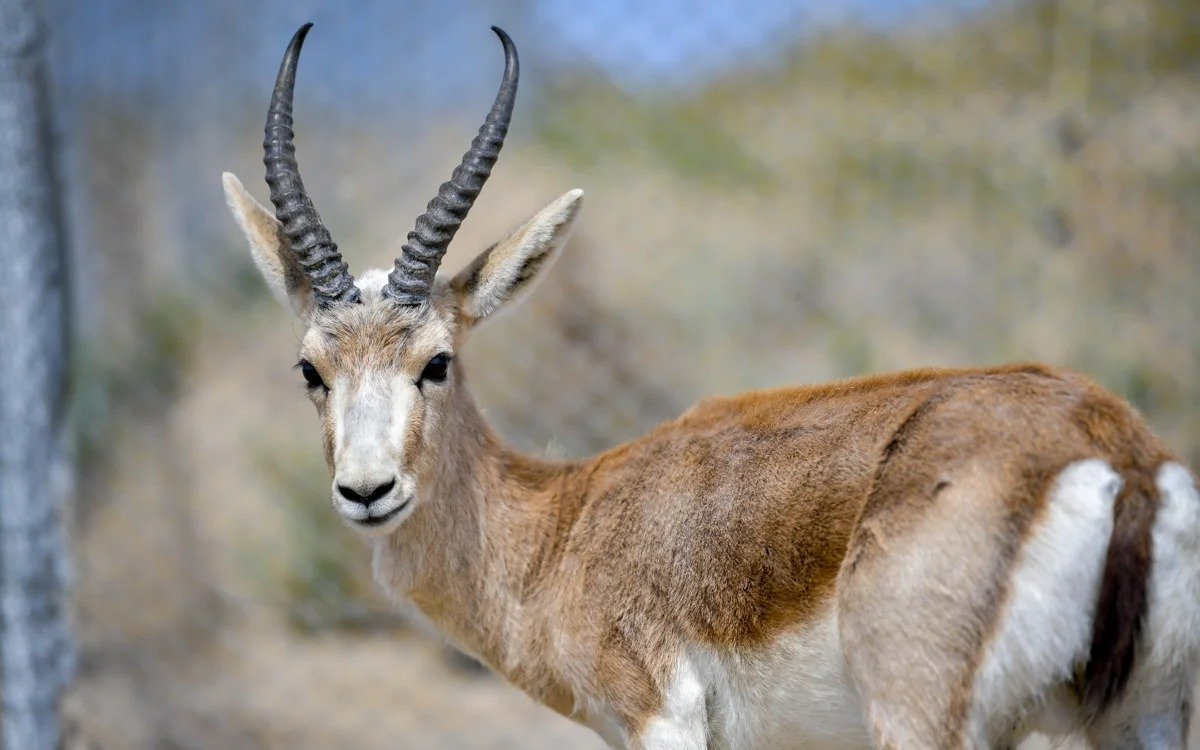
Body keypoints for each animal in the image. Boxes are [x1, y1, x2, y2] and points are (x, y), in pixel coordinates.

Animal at [223, 23, 1200, 749]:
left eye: (437, 361)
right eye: (311, 369)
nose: (367, 490)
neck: (564, 528)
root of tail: (1115, 453)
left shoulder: (662, 719)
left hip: (926, 722)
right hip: (1142, 720)